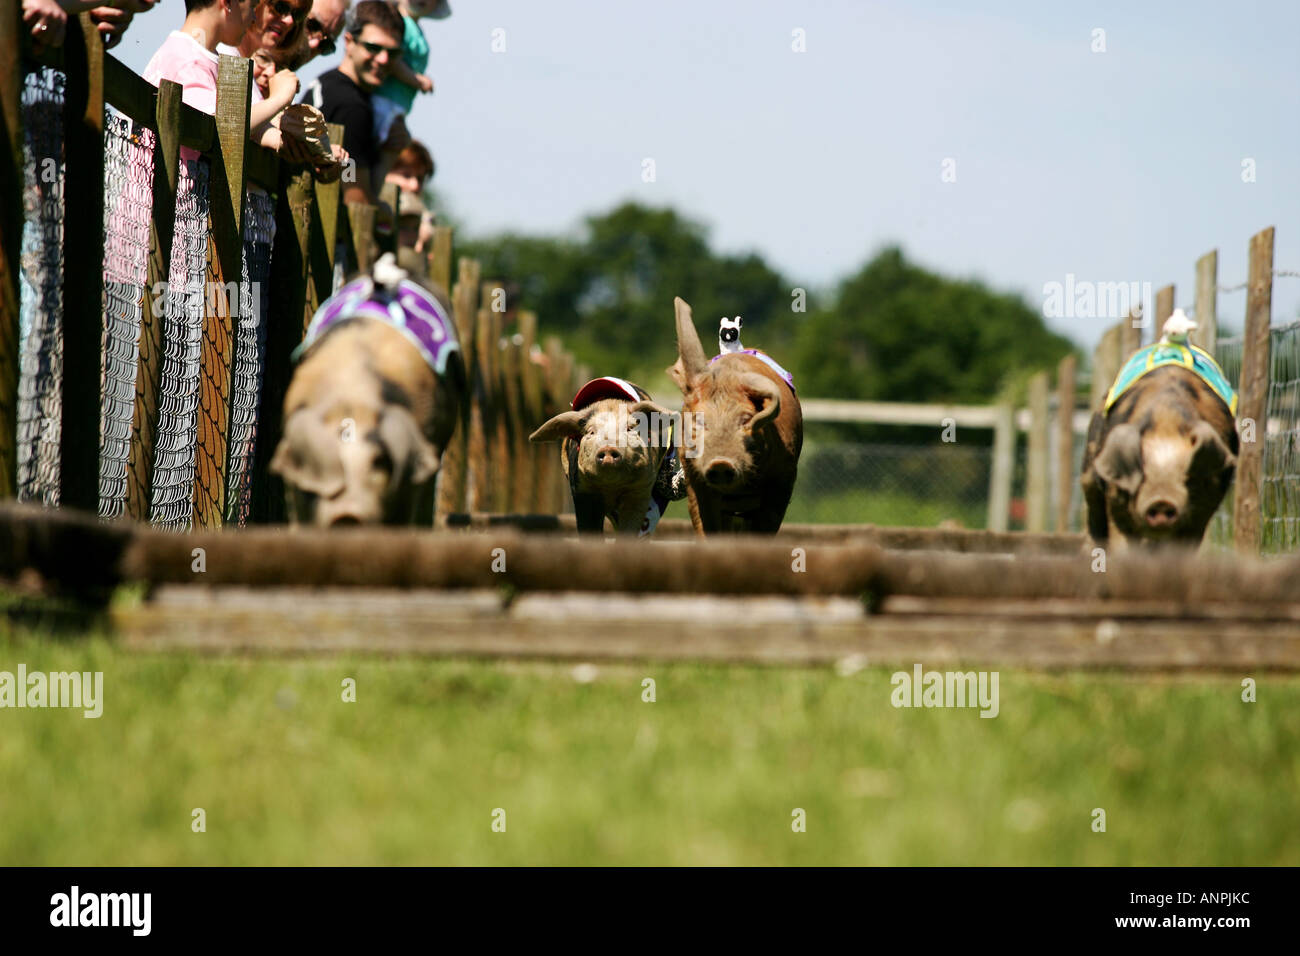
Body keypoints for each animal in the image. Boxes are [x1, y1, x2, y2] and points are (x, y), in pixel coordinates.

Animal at [529, 377, 678, 535]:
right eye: (591, 432)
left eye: (629, 428)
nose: (608, 447)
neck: (611, 487)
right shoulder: (581, 491)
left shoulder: (641, 490)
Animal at [667, 296, 803, 534]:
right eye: (699, 421)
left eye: (746, 419)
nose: (721, 463)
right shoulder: (694, 479)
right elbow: (705, 525)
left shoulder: (785, 476)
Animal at [1080, 344, 1238, 550]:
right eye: (1141, 470)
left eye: (1186, 475)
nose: (1162, 501)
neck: (1166, 420)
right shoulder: (1115, 497)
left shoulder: (1203, 511)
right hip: (1090, 476)